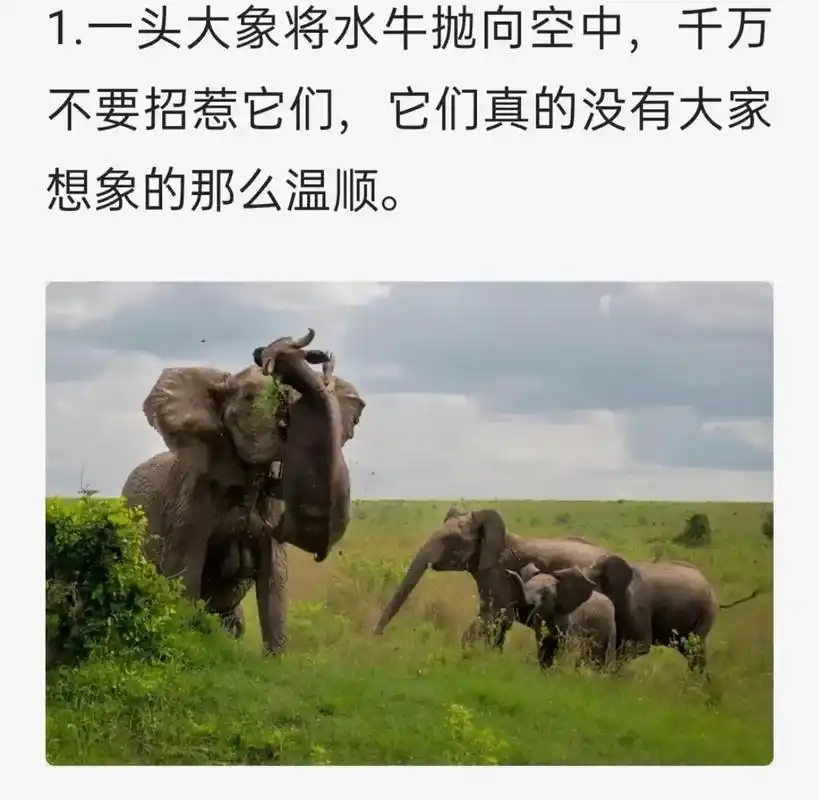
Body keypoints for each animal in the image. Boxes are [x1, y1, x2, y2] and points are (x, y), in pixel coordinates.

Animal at [121, 329, 366, 654]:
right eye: (250, 398)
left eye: (290, 397)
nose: (265, 351)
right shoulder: (189, 498)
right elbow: (184, 572)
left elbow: (275, 577)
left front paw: (276, 659)